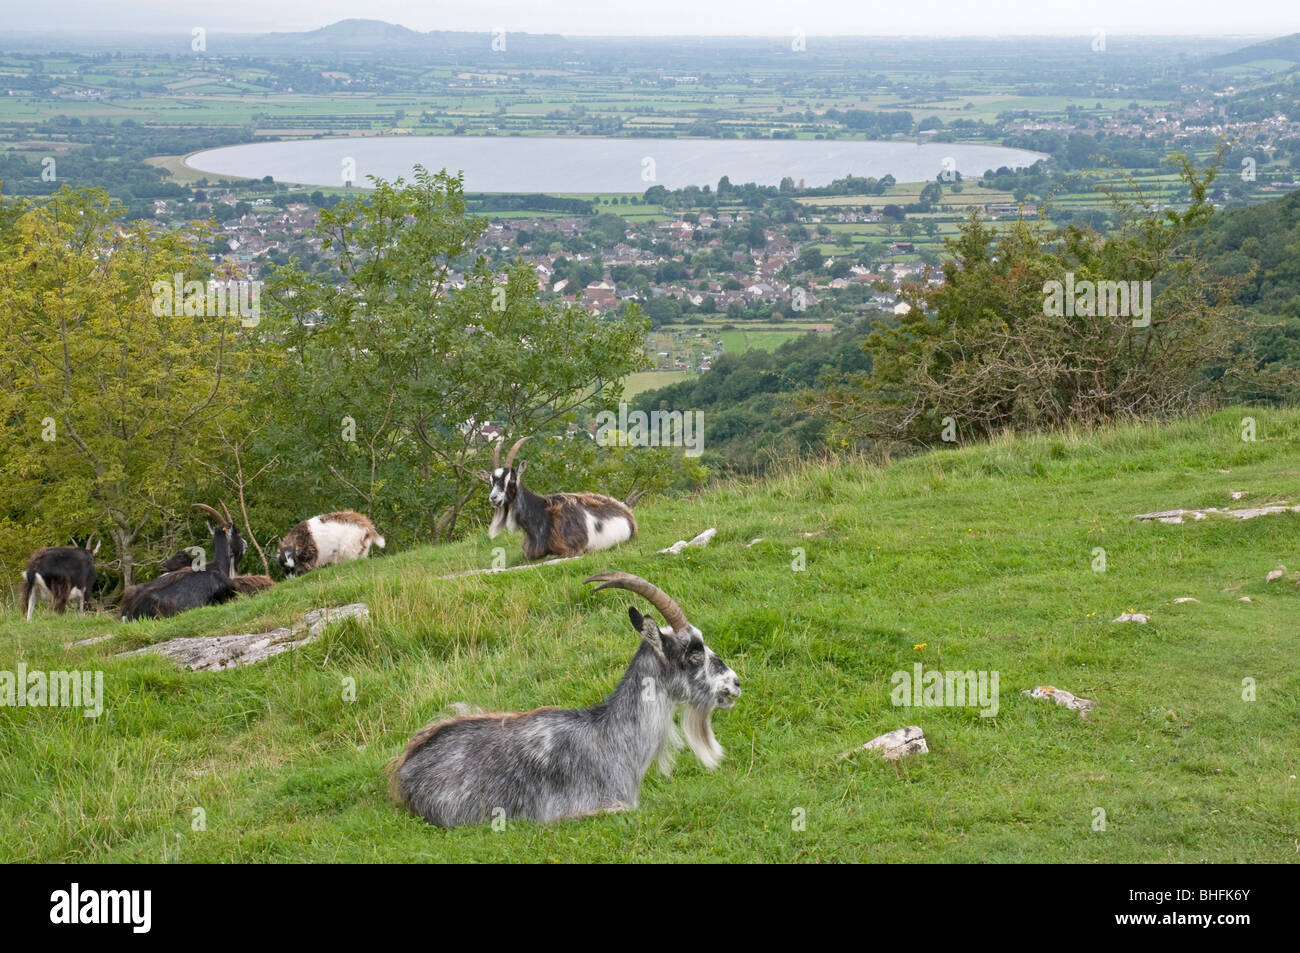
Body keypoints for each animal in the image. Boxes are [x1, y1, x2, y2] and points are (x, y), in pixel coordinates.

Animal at [478, 437, 637, 561]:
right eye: (491, 481)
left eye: (511, 479)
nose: (493, 498)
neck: (541, 513)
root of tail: (627, 513)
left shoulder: (574, 549)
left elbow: (550, 555)